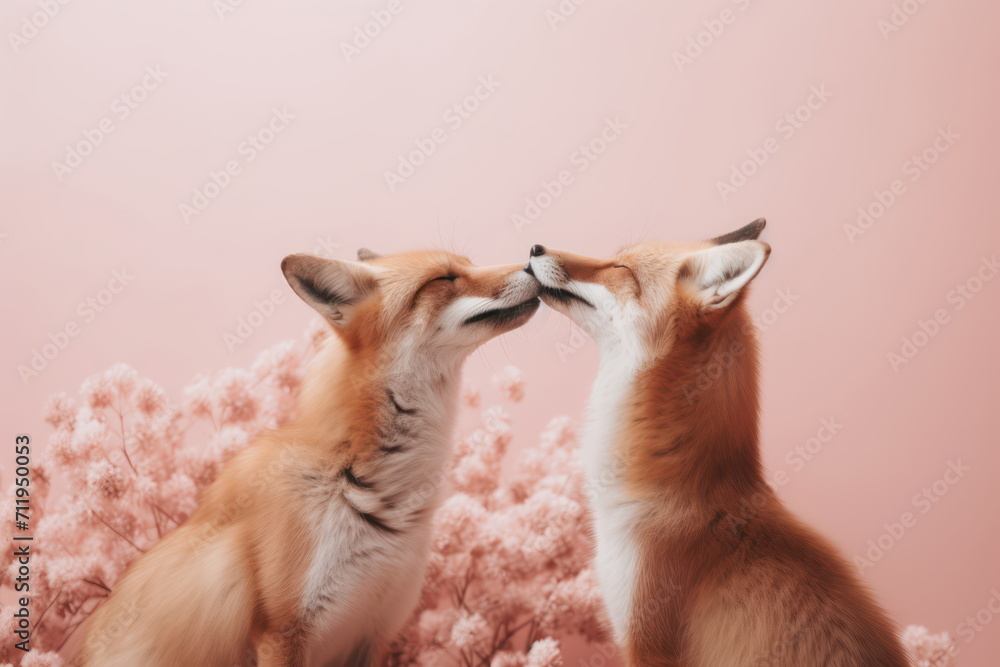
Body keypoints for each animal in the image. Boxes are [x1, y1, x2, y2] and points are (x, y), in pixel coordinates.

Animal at [78, 248, 540, 667]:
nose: (534, 258)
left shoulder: (373, 630)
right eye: (444, 279)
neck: (357, 480)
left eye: (469, 263)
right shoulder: (282, 632)